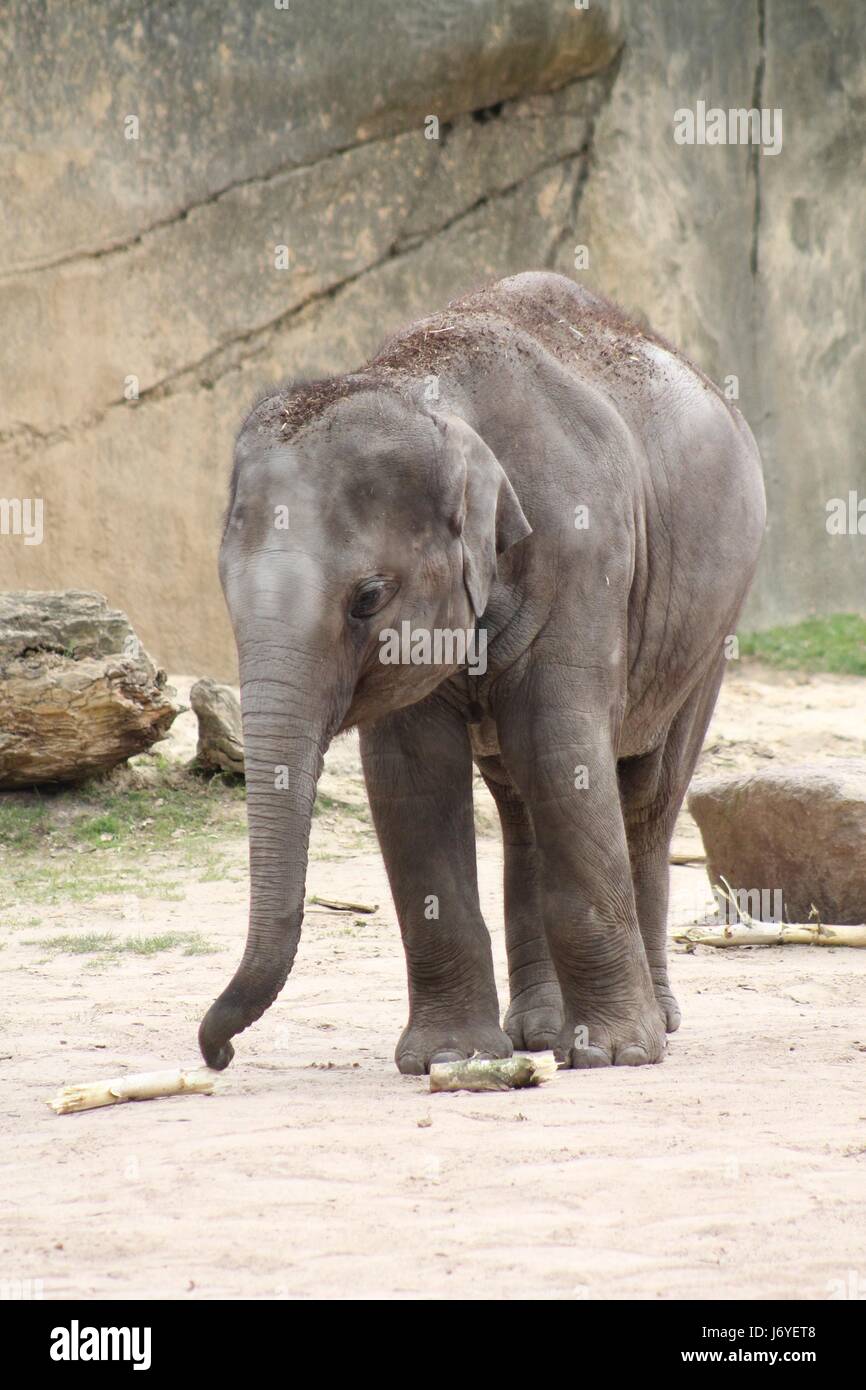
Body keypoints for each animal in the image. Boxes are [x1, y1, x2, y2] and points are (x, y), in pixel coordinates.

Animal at [198, 271, 765, 1074]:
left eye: (368, 598)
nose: (218, 1054)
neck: (424, 389)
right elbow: (412, 776)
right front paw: (449, 1060)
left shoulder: (583, 555)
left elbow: (562, 752)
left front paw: (616, 1053)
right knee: (523, 804)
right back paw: (539, 1033)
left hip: (712, 627)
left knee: (647, 794)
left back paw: (651, 1025)